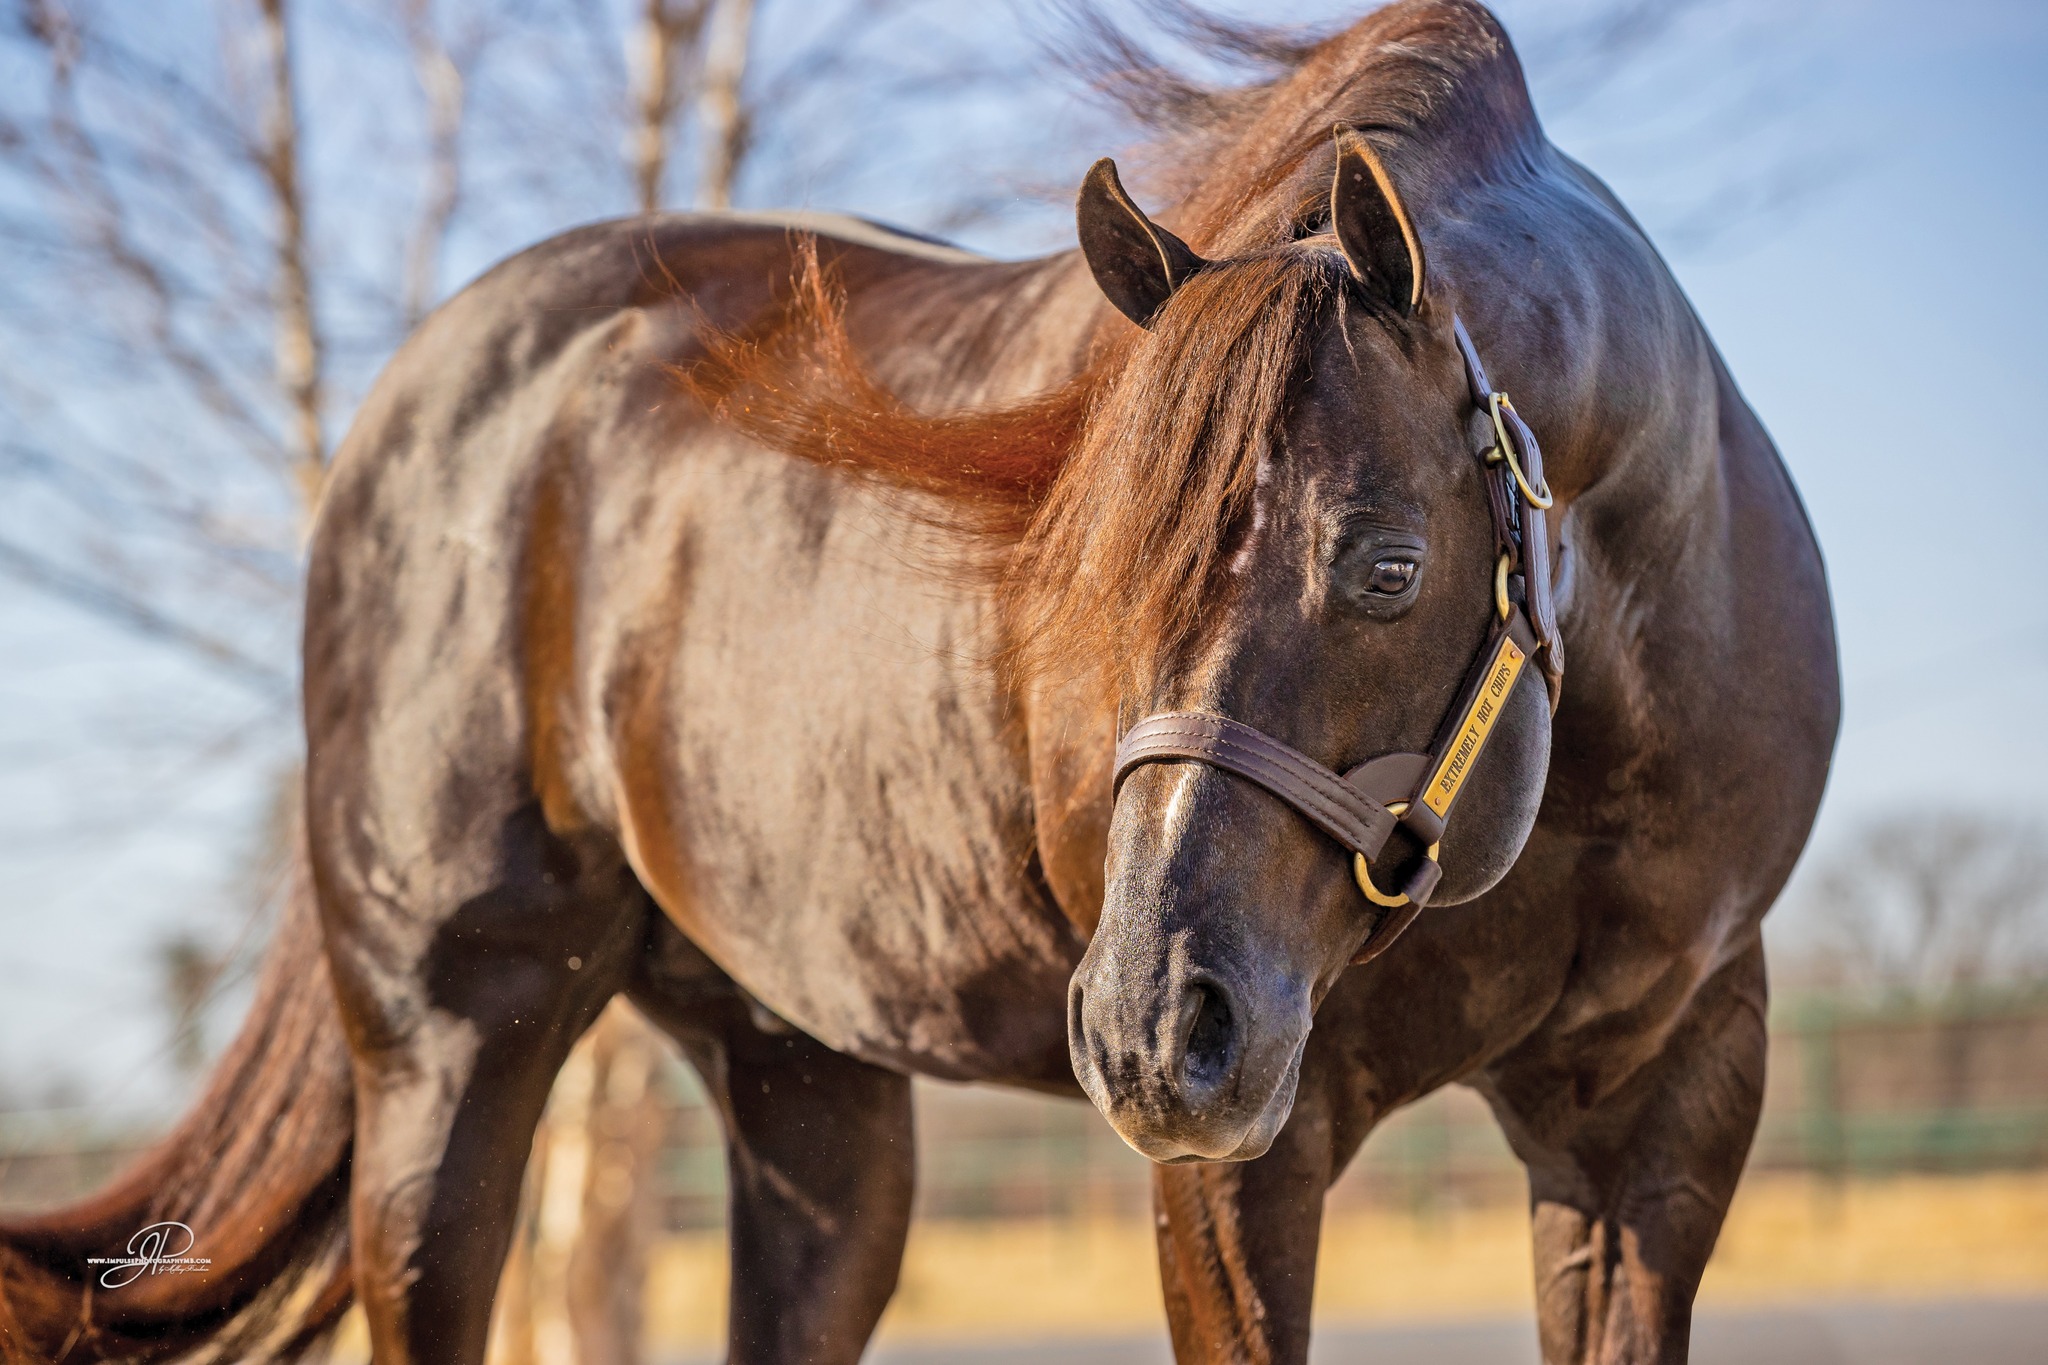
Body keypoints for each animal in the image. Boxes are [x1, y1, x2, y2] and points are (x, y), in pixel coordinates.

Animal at [0, 2, 1838, 1362]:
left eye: (1384, 566)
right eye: (1098, 574)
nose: (1148, 1030)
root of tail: (414, 400)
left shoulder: (1656, 1126)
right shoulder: (1247, 1157)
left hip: (803, 1076)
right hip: (448, 1053)